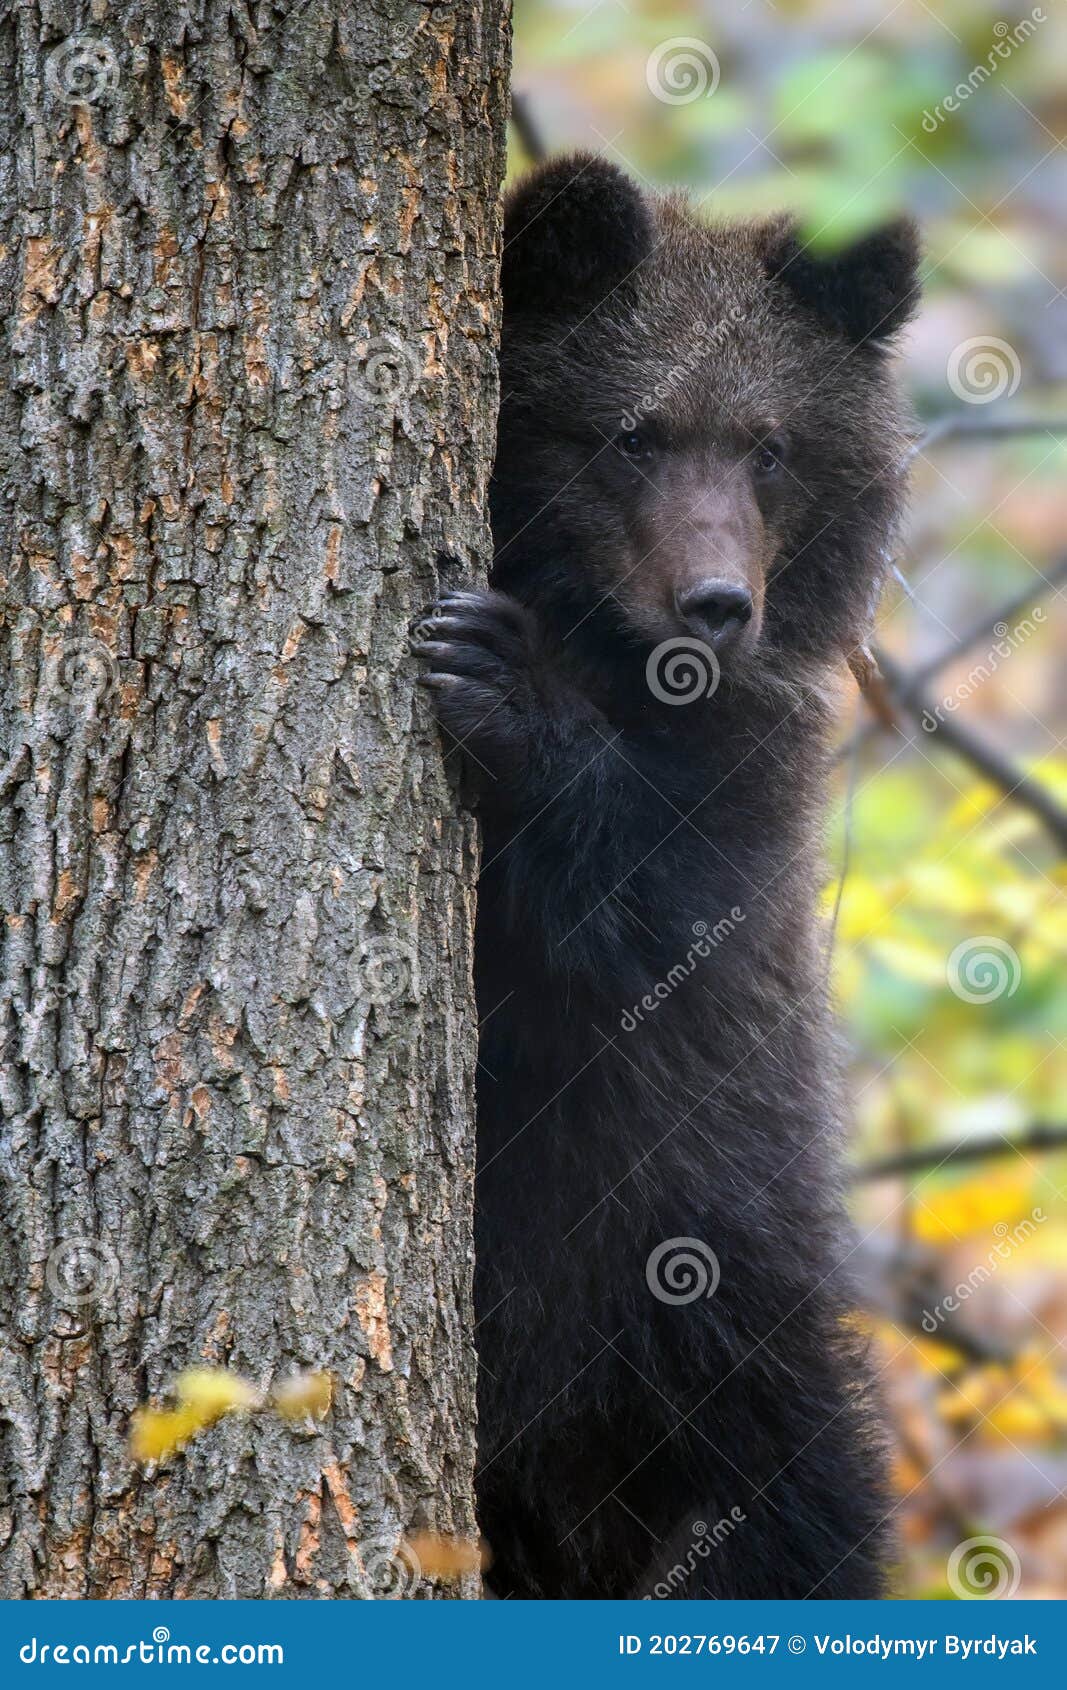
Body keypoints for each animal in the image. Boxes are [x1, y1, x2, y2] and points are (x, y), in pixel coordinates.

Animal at [412, 154, 920, 1599]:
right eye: (632, 433)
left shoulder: (751, 770)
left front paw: (497, 678)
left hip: (715, 1298)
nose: (714, 601)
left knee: (799, 1509)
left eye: (768, 444)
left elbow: (658, 907)